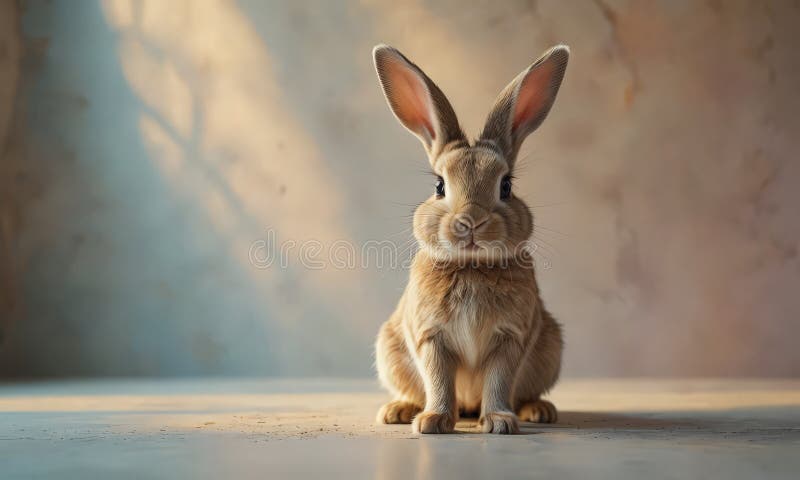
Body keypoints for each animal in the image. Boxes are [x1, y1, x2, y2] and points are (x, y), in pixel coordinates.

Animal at [372, 44, 569, 434]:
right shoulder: (431, 336)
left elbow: (499, 381)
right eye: (439, 186)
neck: (472, 265)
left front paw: (499, 422)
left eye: (506, 186)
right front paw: (432, 422)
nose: (471, 221)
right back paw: (398, 411)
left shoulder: (510, 337)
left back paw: (539, 410)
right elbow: (438, 379)